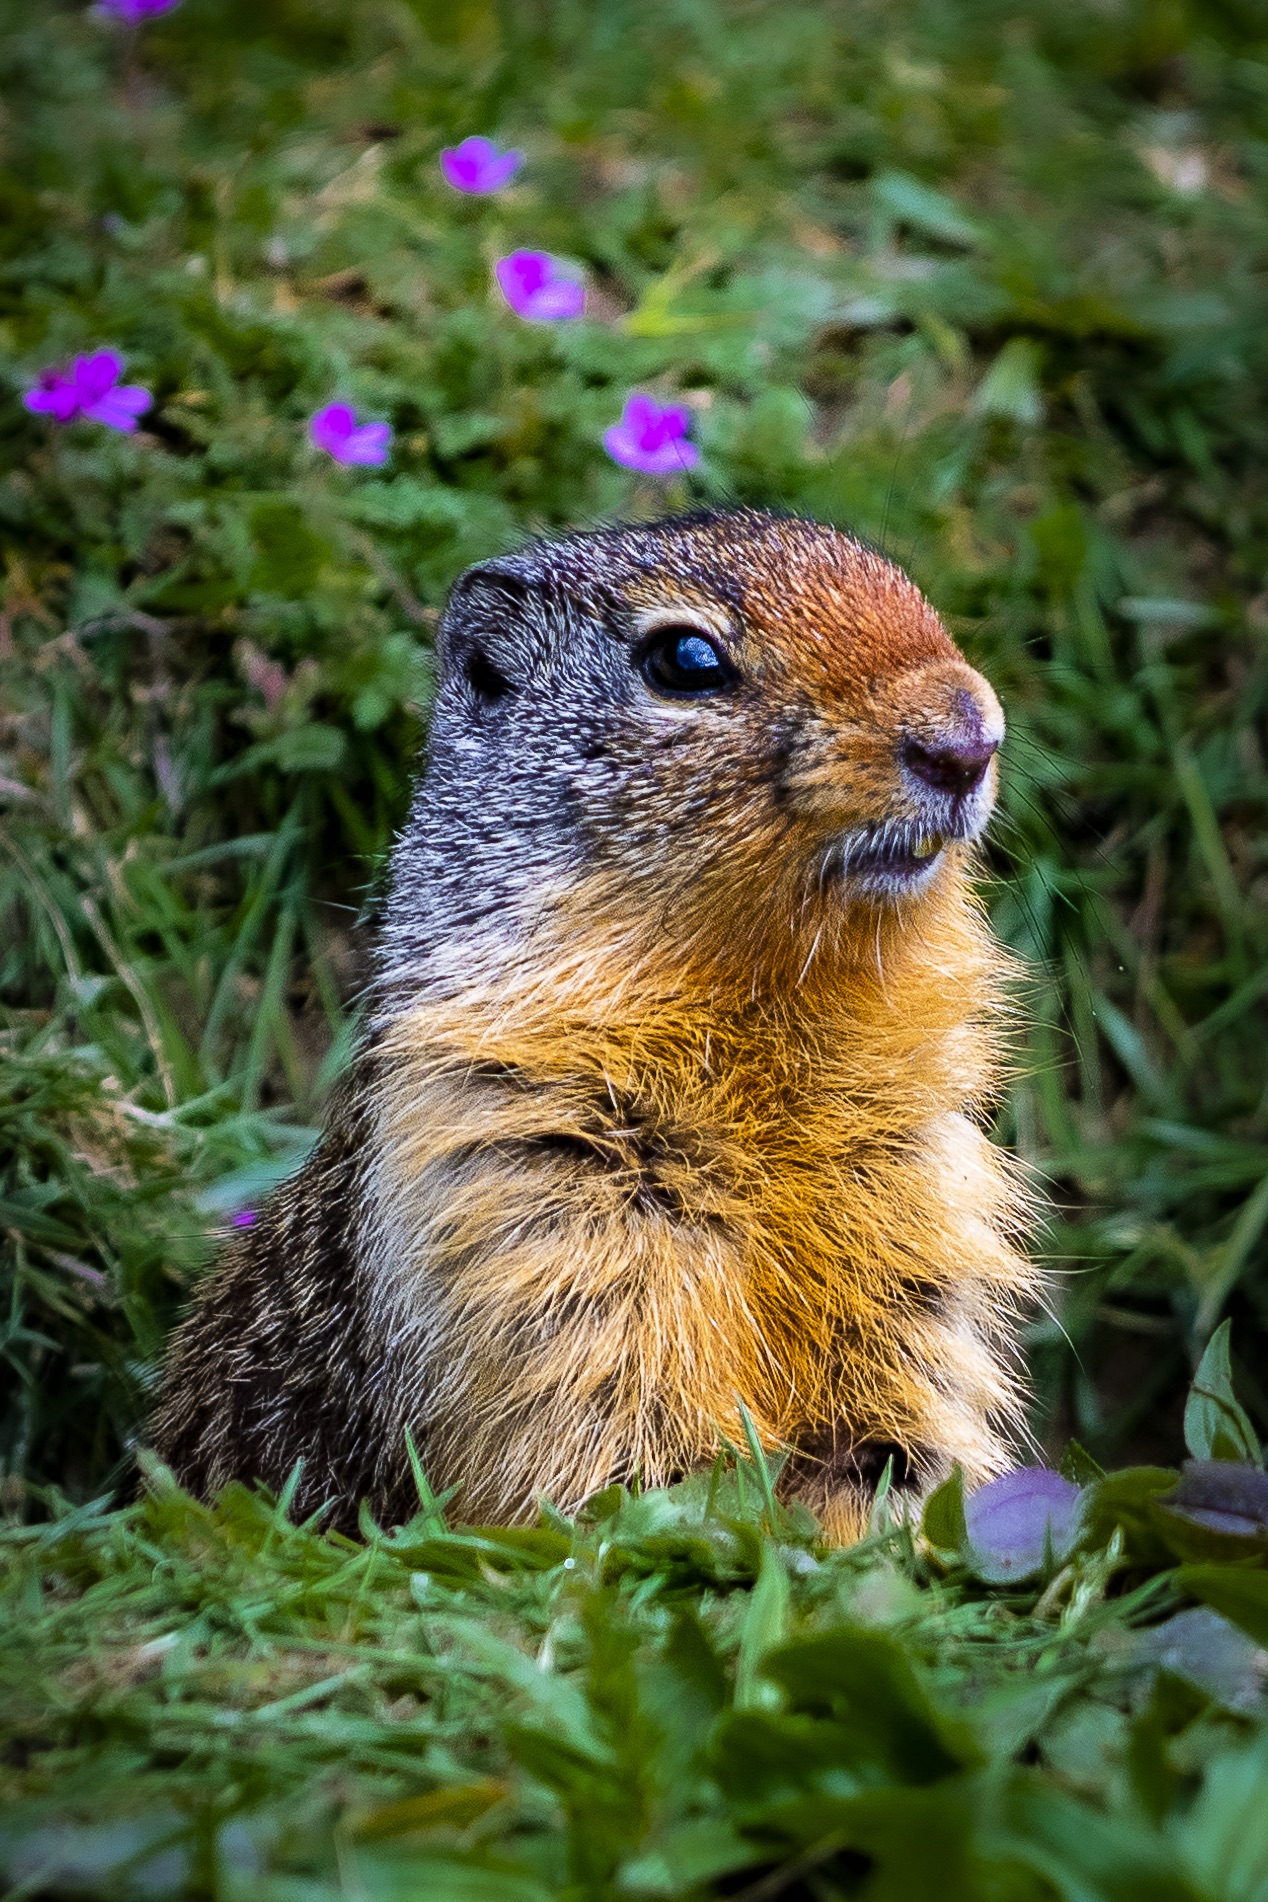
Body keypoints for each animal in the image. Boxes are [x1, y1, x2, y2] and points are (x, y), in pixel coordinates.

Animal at [152, 507, 1039, 1540]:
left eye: (901, 583)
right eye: (685, 659)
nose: (969, 737)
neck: (772, 999)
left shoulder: (914, 1205)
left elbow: (898, 1410)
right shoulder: (526, 1185)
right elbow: (612, 1438)